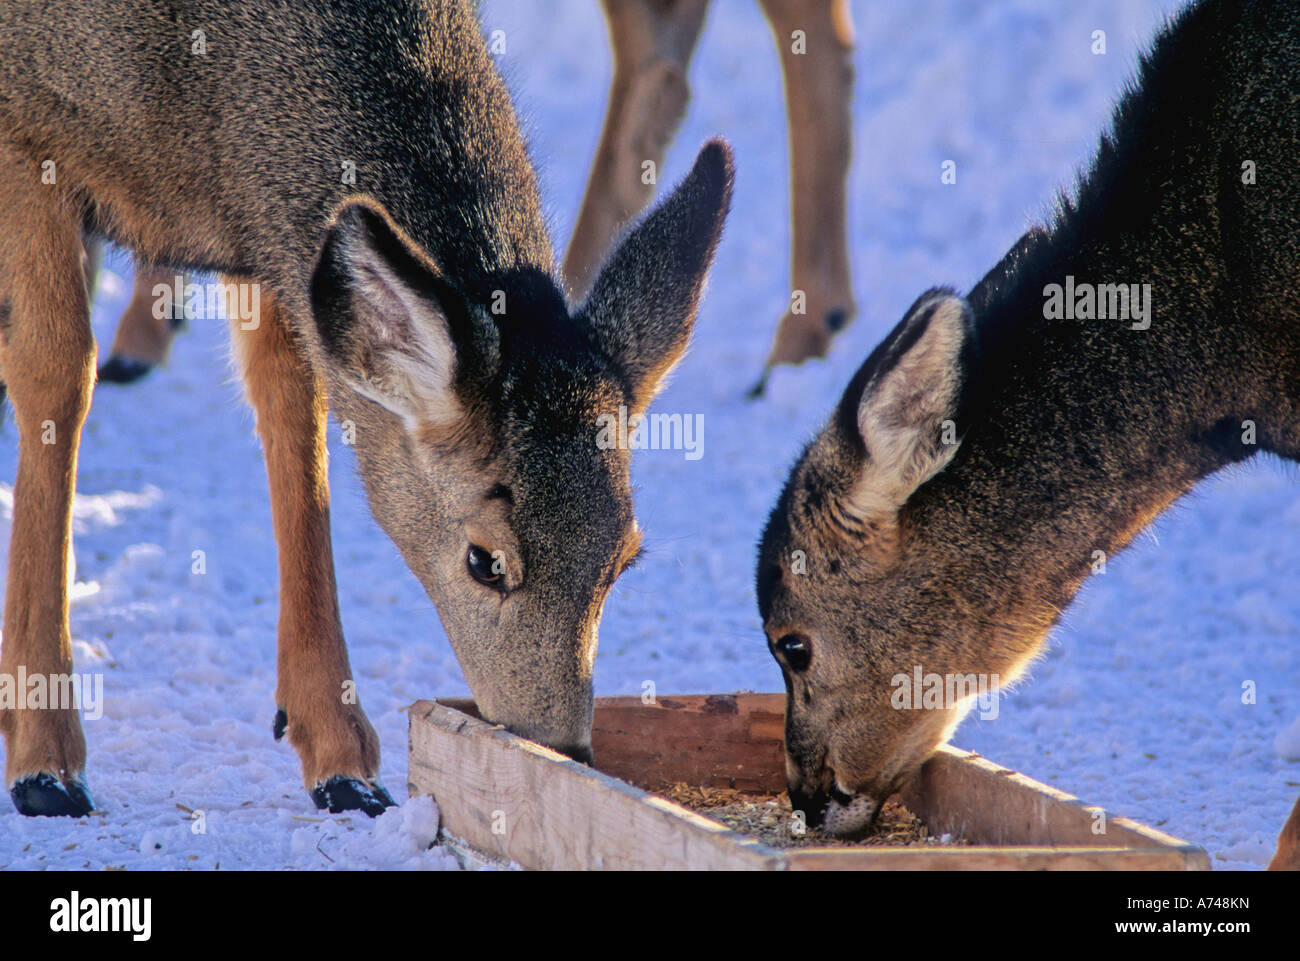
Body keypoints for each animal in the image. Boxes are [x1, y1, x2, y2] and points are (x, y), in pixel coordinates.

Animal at [0, 0, 732, 817]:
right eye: (484, 560)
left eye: (623, 558)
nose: (562, 750)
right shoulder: (23, 129)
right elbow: (56, 373)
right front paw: (44, 758)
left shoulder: (262, 241)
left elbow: (294, 410)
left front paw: (340, 756)